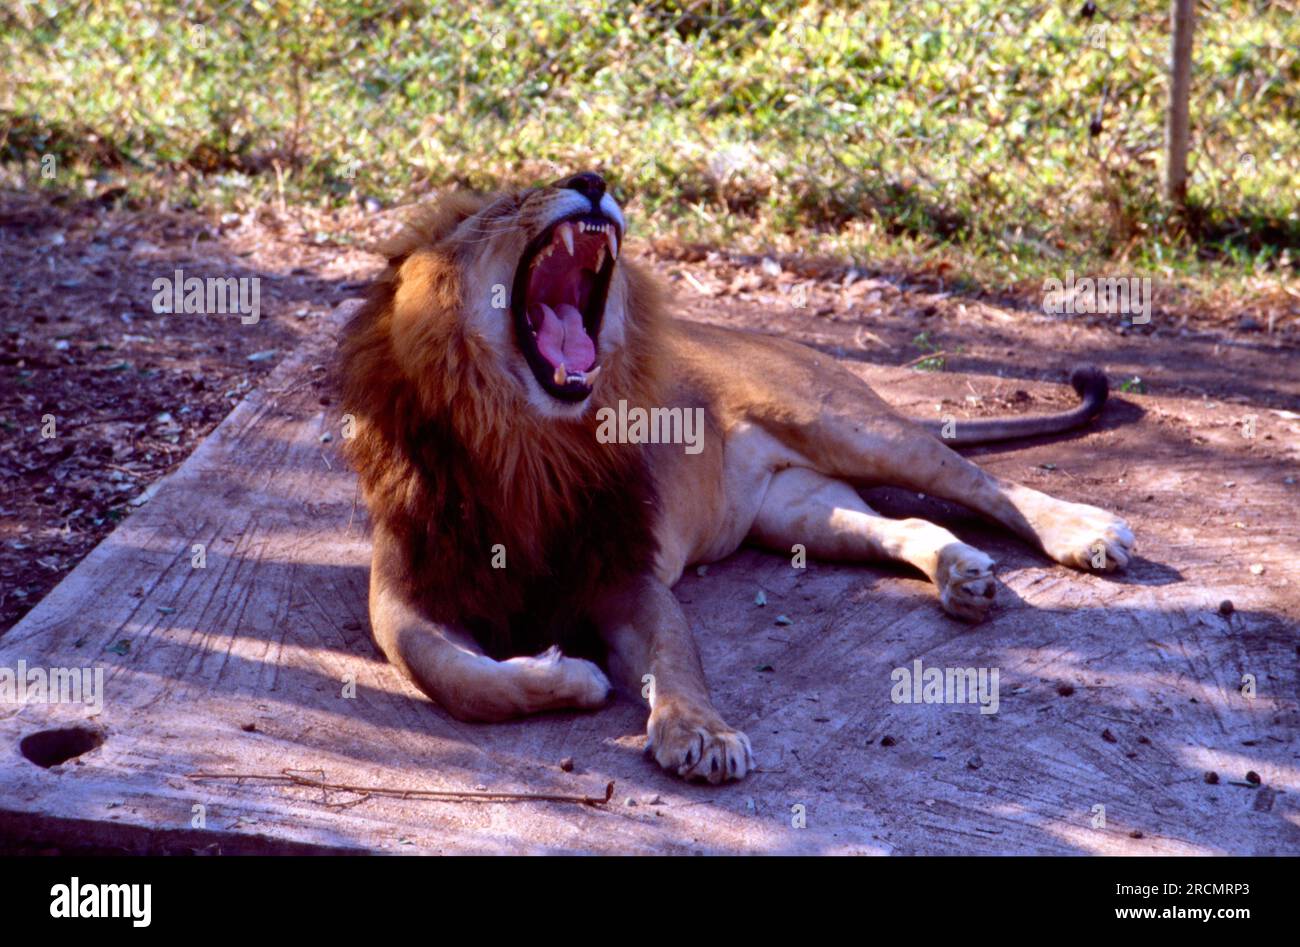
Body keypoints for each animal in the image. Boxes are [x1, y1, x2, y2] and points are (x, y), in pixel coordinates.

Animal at [338, 171, 1134, 783]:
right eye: (509, 201)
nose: (592, 179)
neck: (527, 444)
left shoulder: (624, 572)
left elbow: (676, 661)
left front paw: (700, 735)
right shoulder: (401, 593)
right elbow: (451, 674)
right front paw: (569, 676)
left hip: (847, 424)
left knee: (981, 484)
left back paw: (1086, 532)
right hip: (799, 510)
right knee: (907, 522)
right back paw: (961, 575)